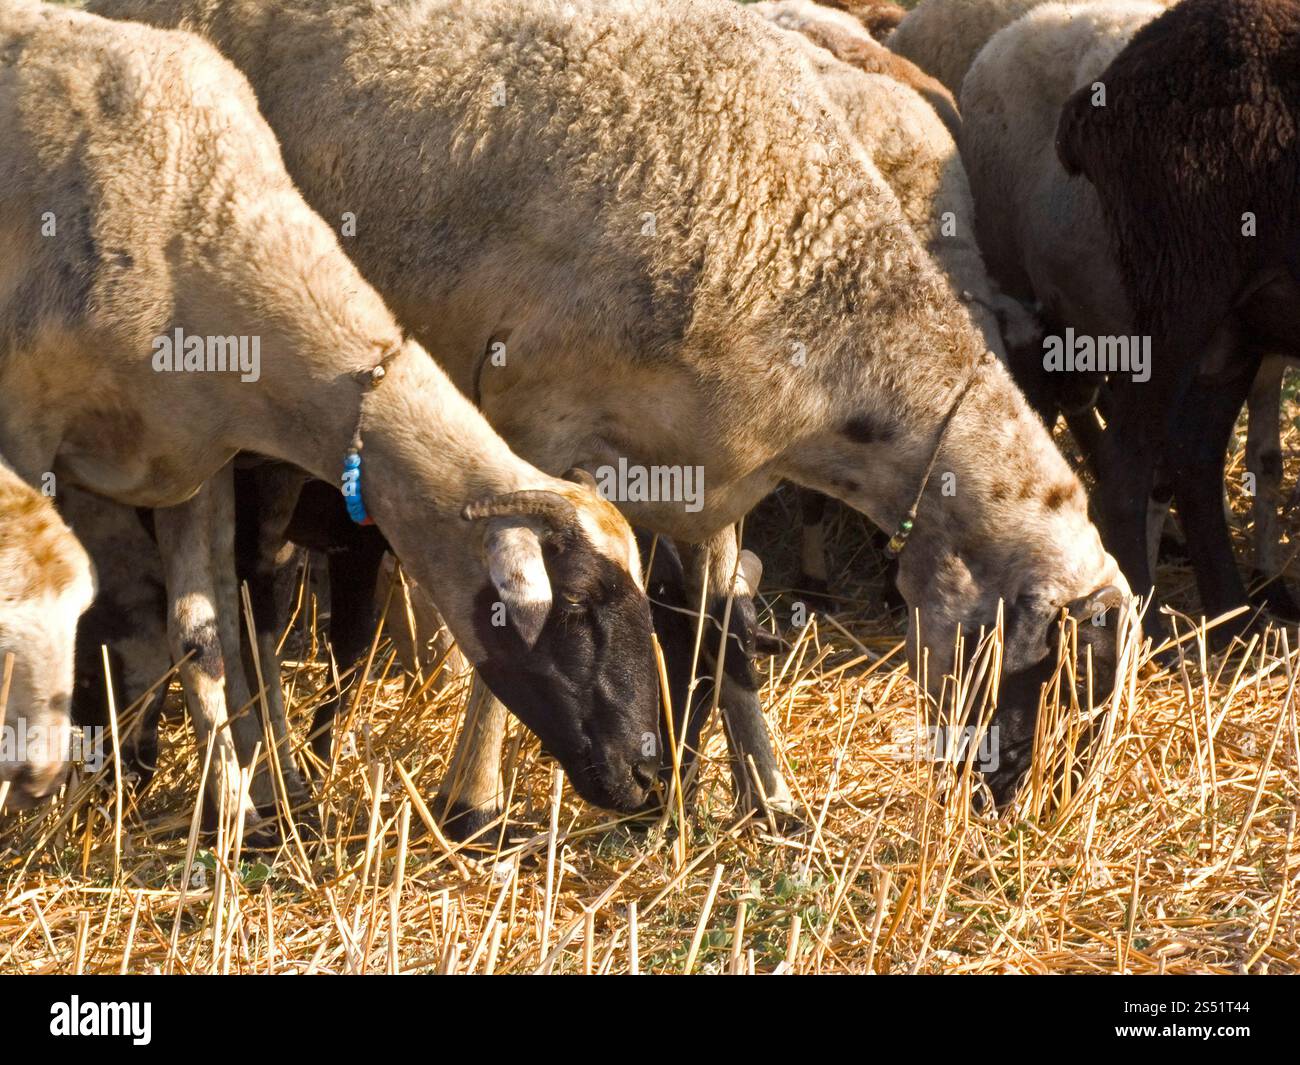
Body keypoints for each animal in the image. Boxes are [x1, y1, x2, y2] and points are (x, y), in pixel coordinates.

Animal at [95, 0, 1132, 808]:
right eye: (1049, 662)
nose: (1006, 798)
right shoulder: (533, 420)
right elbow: (518, 624)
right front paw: (474, 800)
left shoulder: (713, 476)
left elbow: (723, 636)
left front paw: (768, 799)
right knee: (243, 591)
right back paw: (264, 775)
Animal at [1056, 0, 1300, 636]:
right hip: (1181, 291)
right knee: (1127, 465)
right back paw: (1146, 625)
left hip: (1237, 321)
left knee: (1193, 456)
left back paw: (1232, 619)